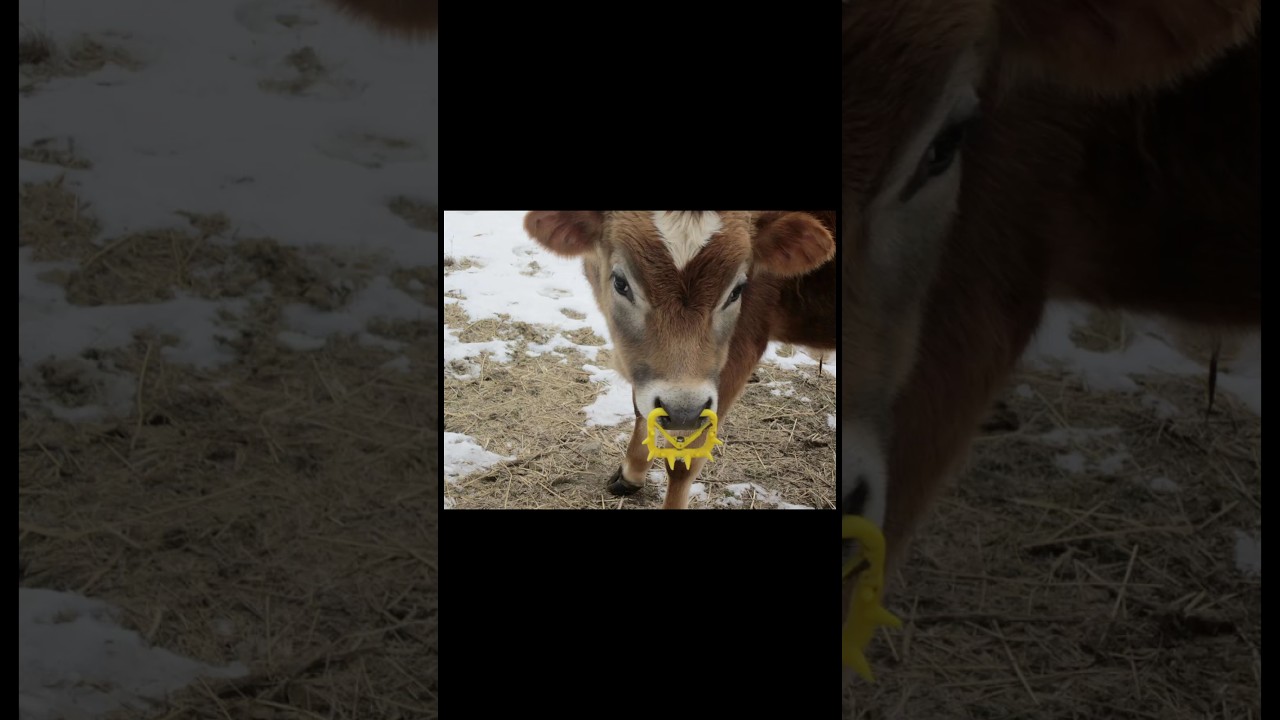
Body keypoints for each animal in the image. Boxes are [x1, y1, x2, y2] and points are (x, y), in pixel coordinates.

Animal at [525, 211, 837, 509]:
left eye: (737, 291)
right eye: (621, 283)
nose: (683, 411)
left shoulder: (741, 349)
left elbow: (683, 462)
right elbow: (642, 410)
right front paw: (631, 473)